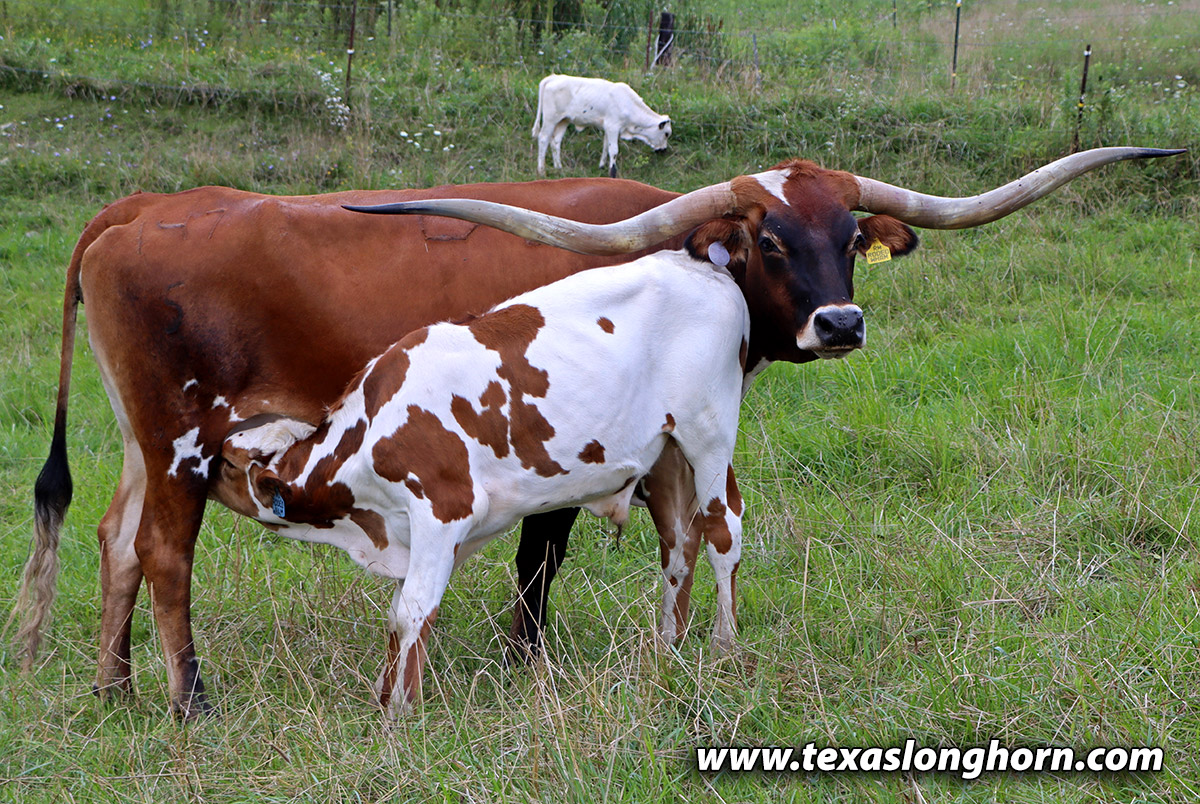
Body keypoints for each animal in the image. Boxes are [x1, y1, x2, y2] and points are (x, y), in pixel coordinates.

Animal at [216, 250, 751, 713]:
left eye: (225, 462)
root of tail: (699, 265)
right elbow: (396, 613)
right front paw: (386, 694)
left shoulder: (442, 511)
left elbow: (413, 610)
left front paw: (401, 711)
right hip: (666, 458)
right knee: (678, 544)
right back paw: (667, 643)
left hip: (709, 436)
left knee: (723, 534)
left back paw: (724, 646)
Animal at [532, 74, 672, 178]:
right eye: (666, 133)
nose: (664, 150)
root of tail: (553, 77)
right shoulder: (613, 127)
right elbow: (614, 150)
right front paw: (613, 173)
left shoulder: (608, 128)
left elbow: (605, 147)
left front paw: (602, 166)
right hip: (550, 119)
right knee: (543, 139)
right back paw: (541, 171)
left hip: (563, 120)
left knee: (555, 142)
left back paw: (559, 168)